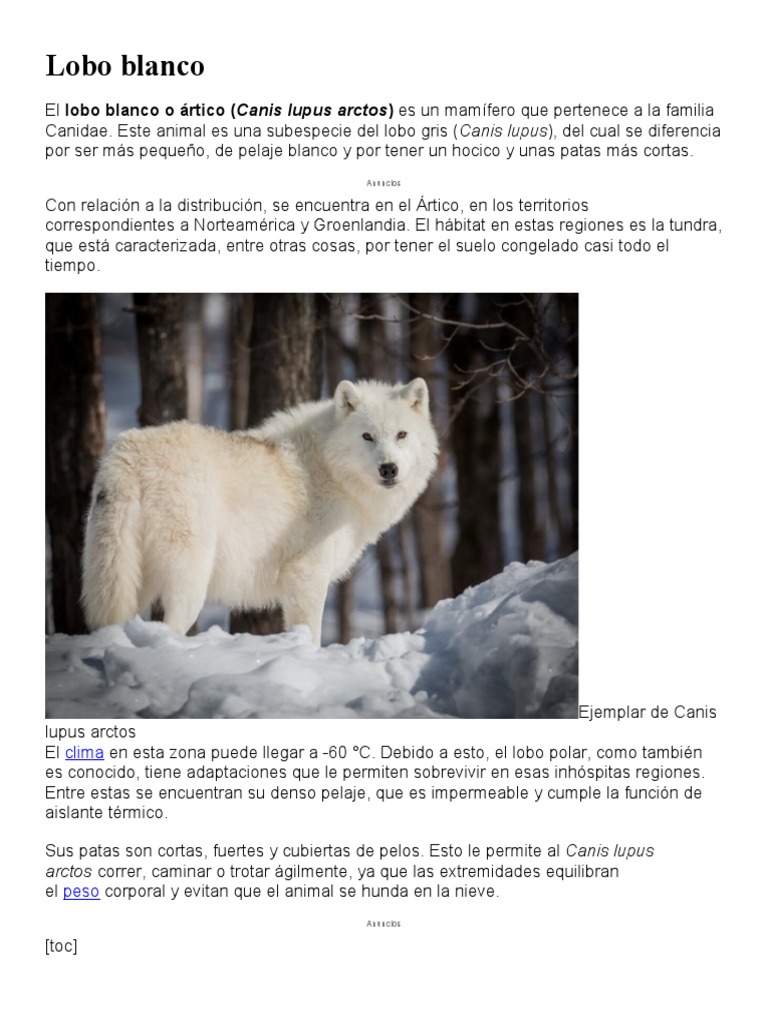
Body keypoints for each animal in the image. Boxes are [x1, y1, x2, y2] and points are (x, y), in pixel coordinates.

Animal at [81, 379, 438, 643]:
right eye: (367, 437)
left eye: (401, 435)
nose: (389, 469)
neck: (330, 469)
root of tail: (126, 457)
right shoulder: (307, 575)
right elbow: (310, 635)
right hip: (190, 581)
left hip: (128, 581)